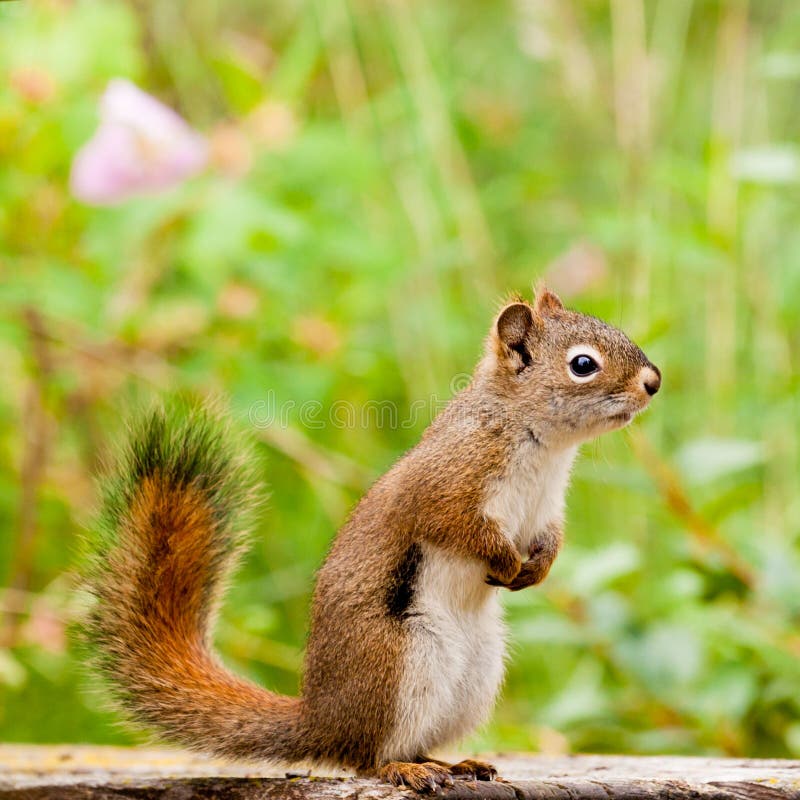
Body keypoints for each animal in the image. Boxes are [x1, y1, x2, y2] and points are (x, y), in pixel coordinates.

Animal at [85, 288, 661, 792]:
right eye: (583, 364)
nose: (654, 382)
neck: (543, 448)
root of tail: (321, 721)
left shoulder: (546, 509)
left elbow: (551, 540)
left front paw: (535, 569)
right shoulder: (447, 486)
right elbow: (458, 526)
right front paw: (502, 559)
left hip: (475, 675)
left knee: (413, 743)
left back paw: (455, 763)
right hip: (398, 662)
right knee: (369, 756)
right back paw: (403, 770)